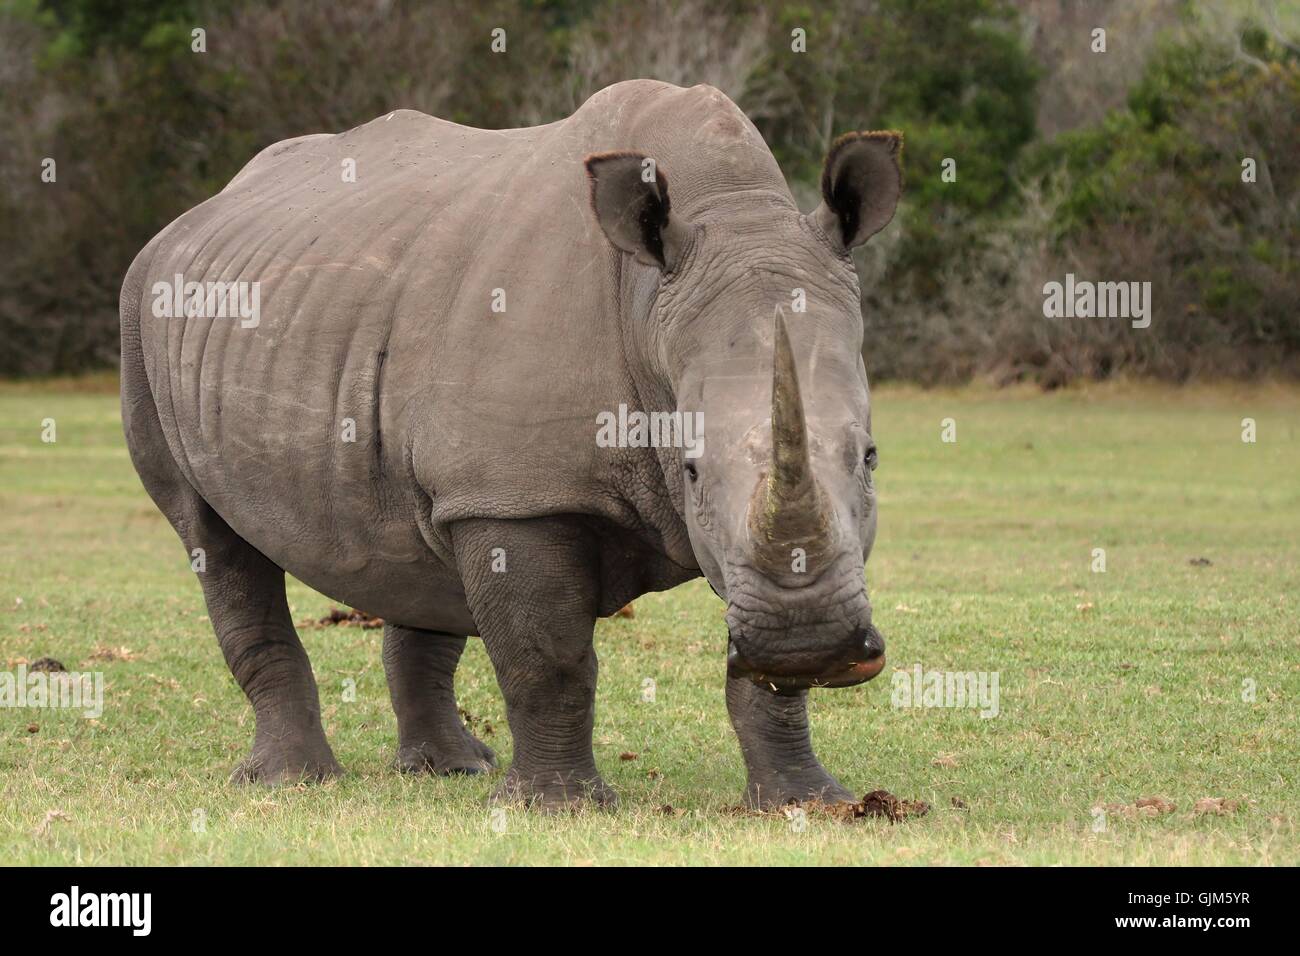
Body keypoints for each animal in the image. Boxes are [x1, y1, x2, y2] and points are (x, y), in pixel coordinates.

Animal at [120, 79, 902, 810]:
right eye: (690, 471)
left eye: (869, 457)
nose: (811, 642)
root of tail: (193, 216)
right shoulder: (516, 492)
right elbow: (548, 657)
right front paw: (558, 808)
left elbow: (767, 681)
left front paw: (809, 802)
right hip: (140, 308)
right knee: (213, 538)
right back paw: (293, 782)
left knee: (418, 546)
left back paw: (450, 768)